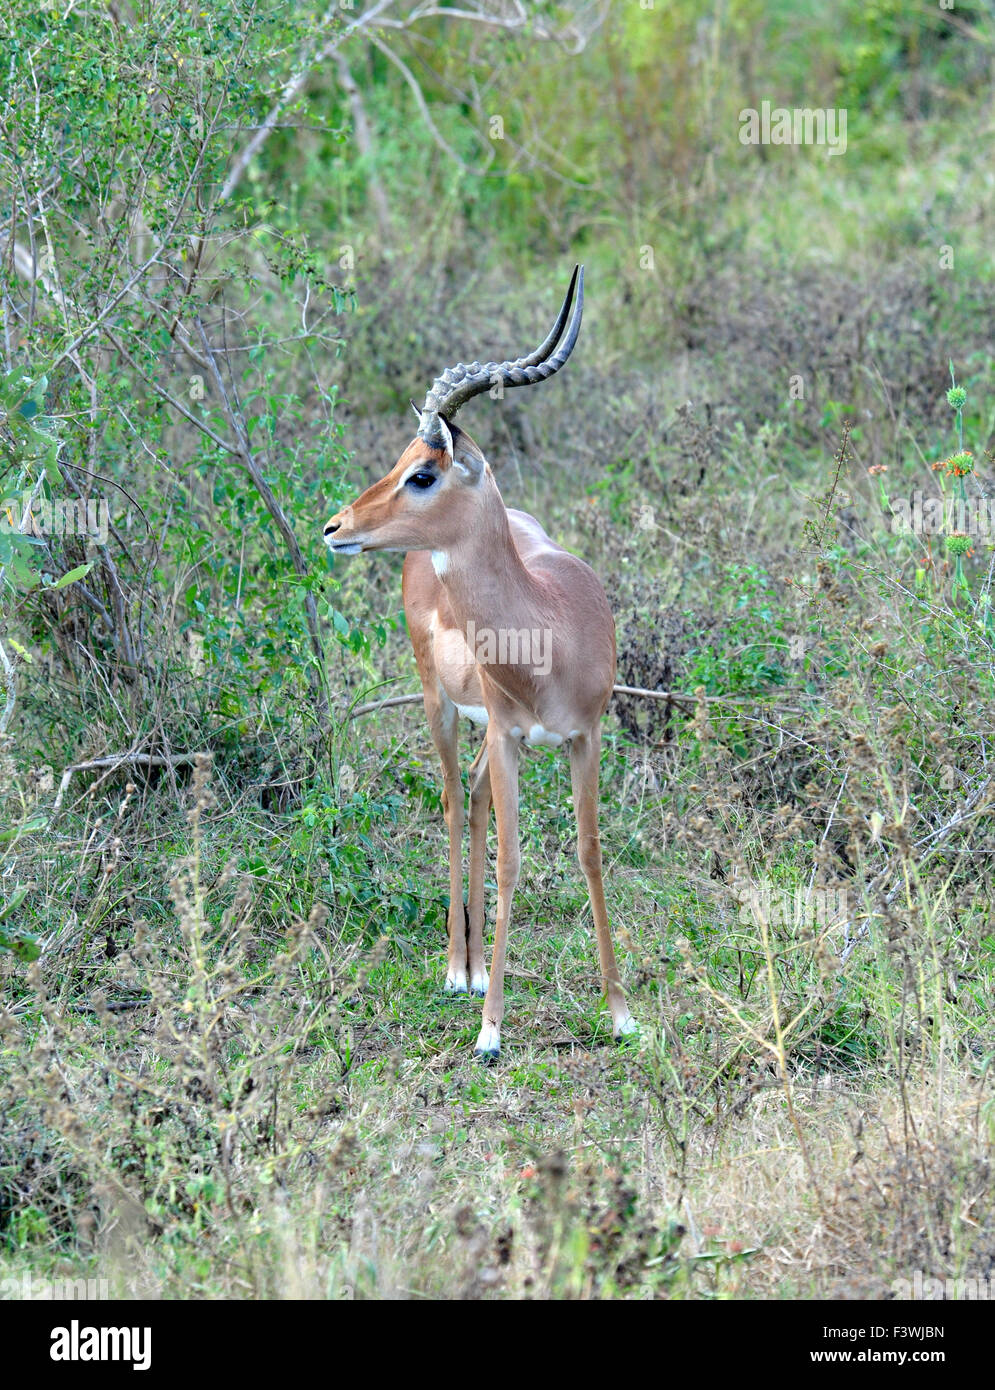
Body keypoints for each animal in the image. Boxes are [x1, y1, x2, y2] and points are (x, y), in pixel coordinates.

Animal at [324, 266, 635, 1059]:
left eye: (423, 473)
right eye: (401, 462)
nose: (335, 526)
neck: (547, 630)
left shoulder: (584, 737)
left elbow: (589, 851)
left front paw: (621, 1012)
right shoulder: (508, 735)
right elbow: (513, 860)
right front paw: (492, 1029)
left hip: (488, 735)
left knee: (469, 796)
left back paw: (466, 967)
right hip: (443, 709)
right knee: (452, 800)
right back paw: (456, 971)